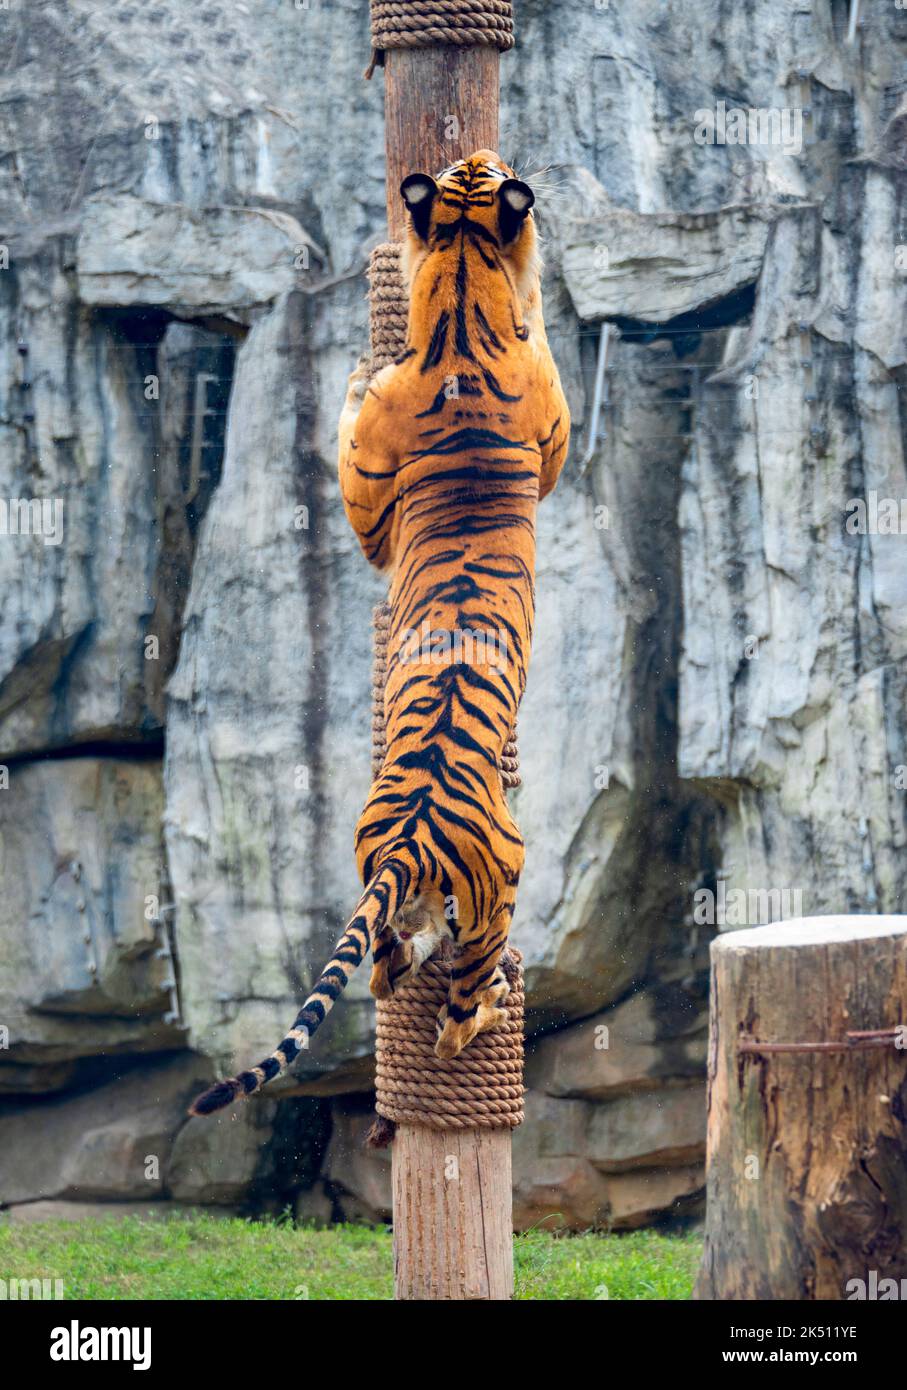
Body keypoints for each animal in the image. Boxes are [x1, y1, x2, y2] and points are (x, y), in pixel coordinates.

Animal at [190, 150, 569, 1118]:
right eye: (488, 169)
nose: (484, 158)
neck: (464, 291)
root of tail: (411, 834)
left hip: (379, 879)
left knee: (388, 959)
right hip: (500, 883)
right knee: (458, 1002)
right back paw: (488, 1006)